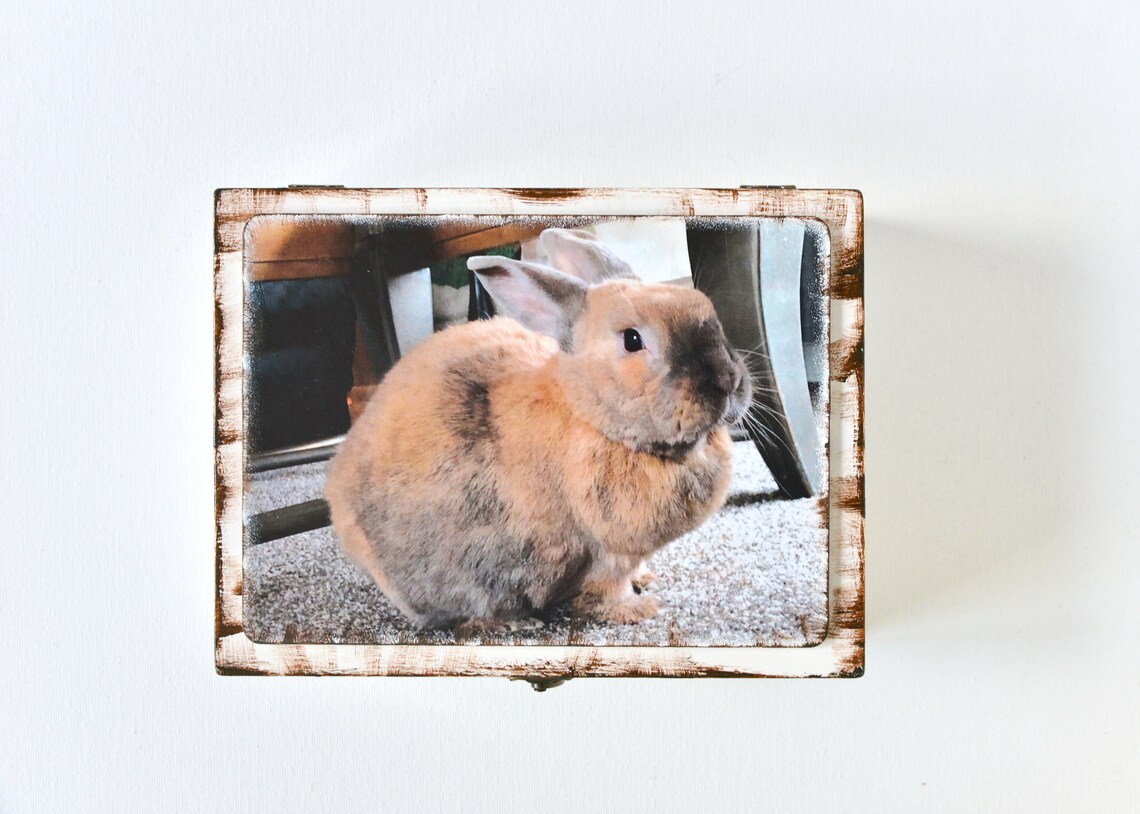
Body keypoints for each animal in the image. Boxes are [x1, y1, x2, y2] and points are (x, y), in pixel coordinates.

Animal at [324, 227, 752, 630]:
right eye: (633, 340)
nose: (727, 381)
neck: (587, 417)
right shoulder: (607, 553)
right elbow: (608, 587)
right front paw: (638, 610)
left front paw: (645, 583)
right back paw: (512, 622)